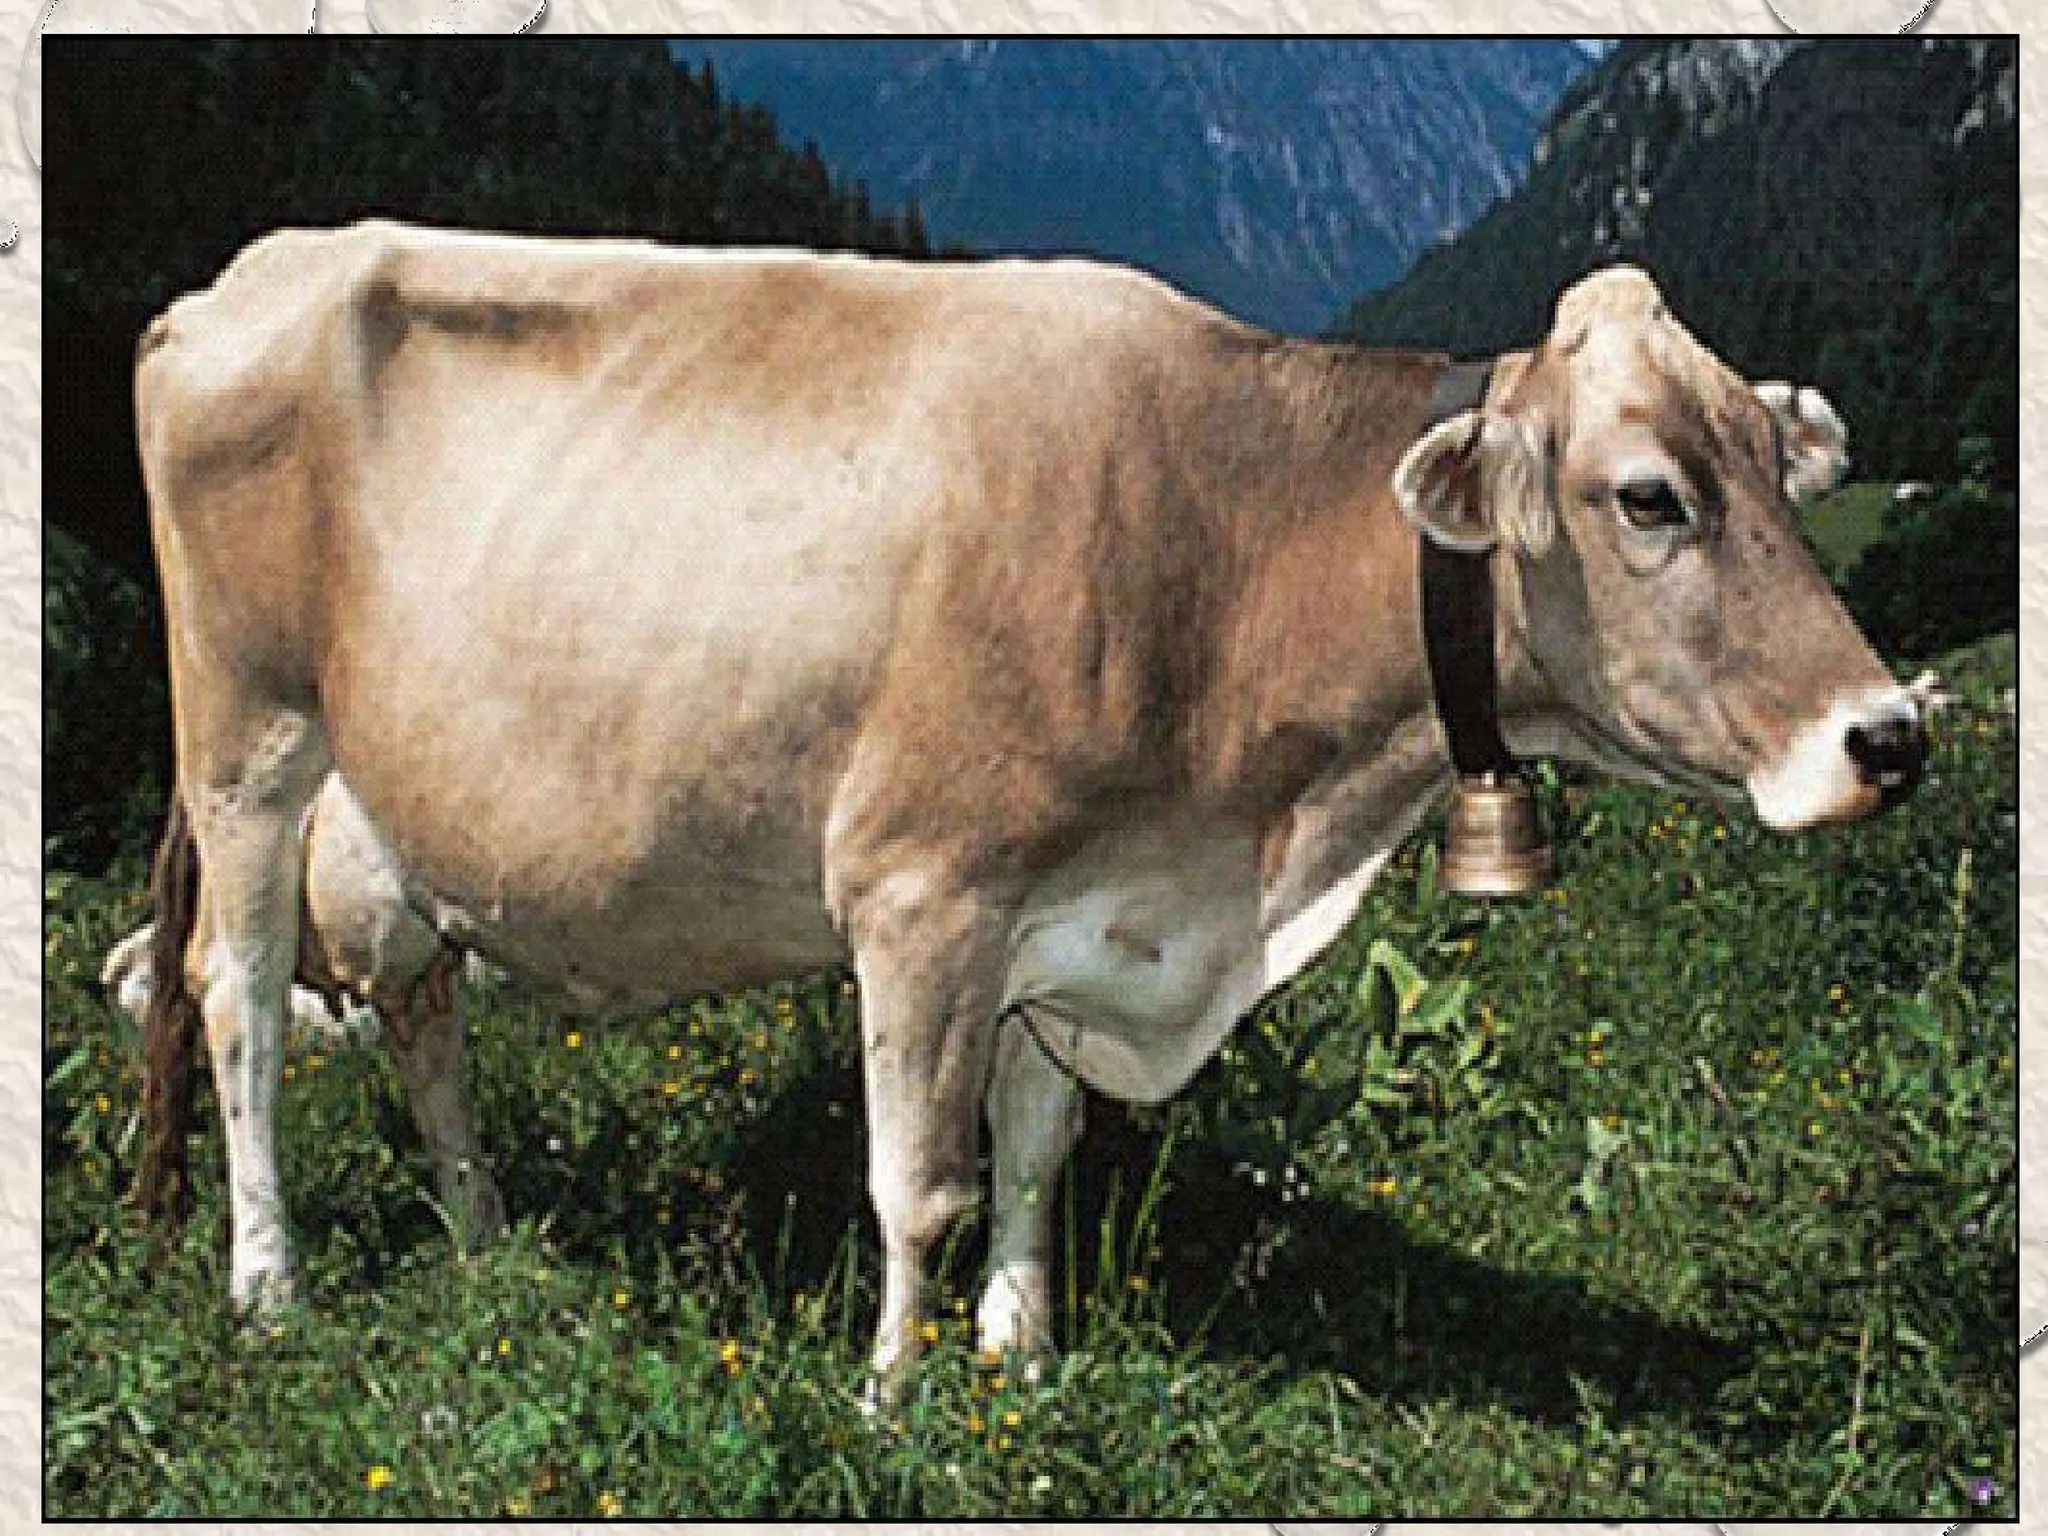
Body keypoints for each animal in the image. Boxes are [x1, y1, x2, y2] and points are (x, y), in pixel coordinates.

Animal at [131, 220, 1924, 1401]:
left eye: (1784, 478)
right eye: (1648, 497)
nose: (1890, 733)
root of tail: (247, 272)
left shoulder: (1075, 920)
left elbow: (1038, 1149)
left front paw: (1023, 1353)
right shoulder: (923, 896)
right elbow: (917, 1176)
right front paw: (893, 1396)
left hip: (395, 816)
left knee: (424, 1017)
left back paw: (488, 1238)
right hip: (249, 745)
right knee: (239, 1009)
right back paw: (267, 1285)